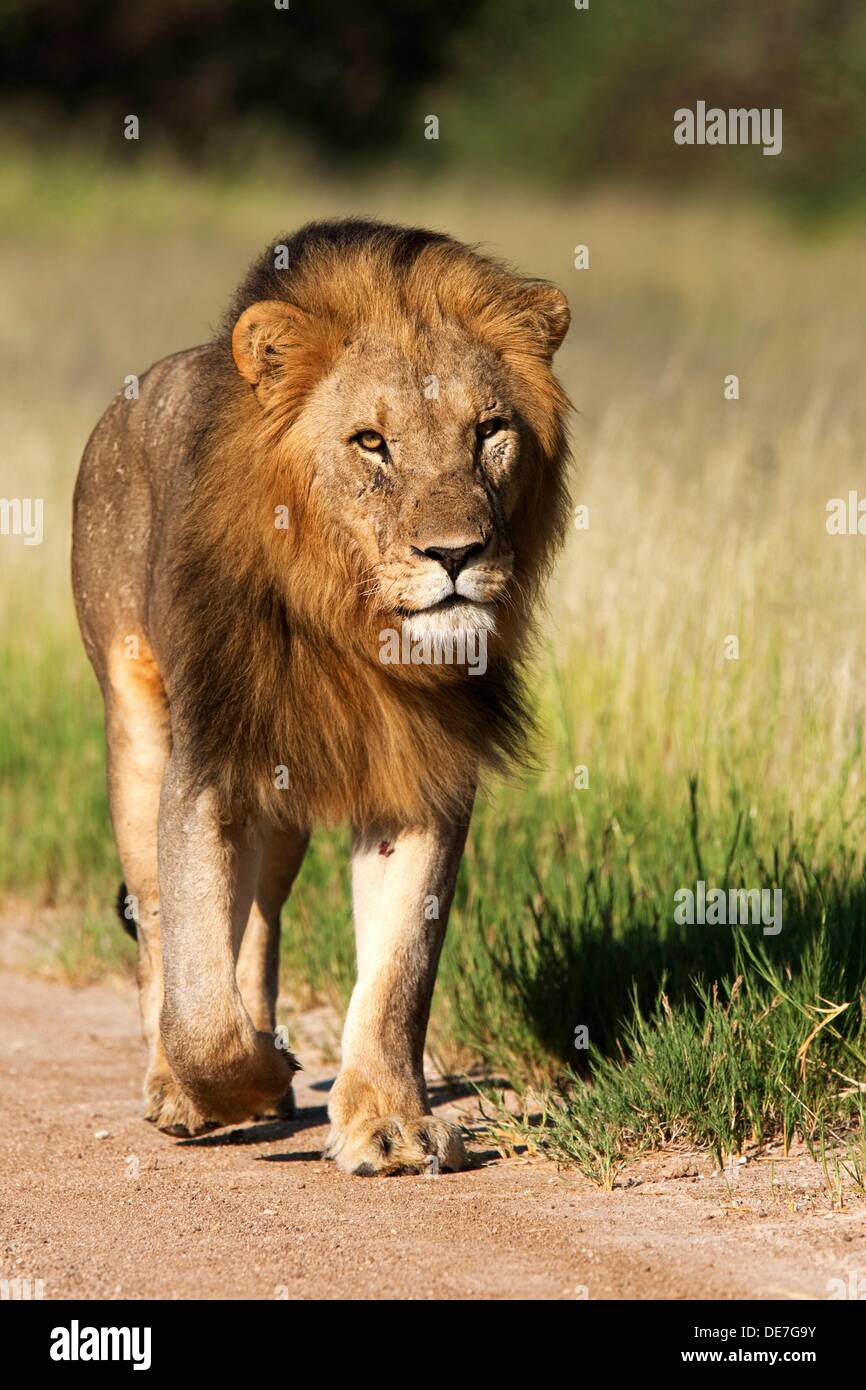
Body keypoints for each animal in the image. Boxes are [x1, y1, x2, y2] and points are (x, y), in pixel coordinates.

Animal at [71, 219, 571, 1175]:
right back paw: (177, 1090)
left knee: (258, 923)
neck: (353, 631)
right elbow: (198, 1001)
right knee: (158, 933)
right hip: (134, 727)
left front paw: (388, 1122)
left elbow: (398, 973)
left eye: (490, 430)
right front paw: (244, 1078)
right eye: (371, 442)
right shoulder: (206, 765)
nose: (457, 553)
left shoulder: (419, 779)